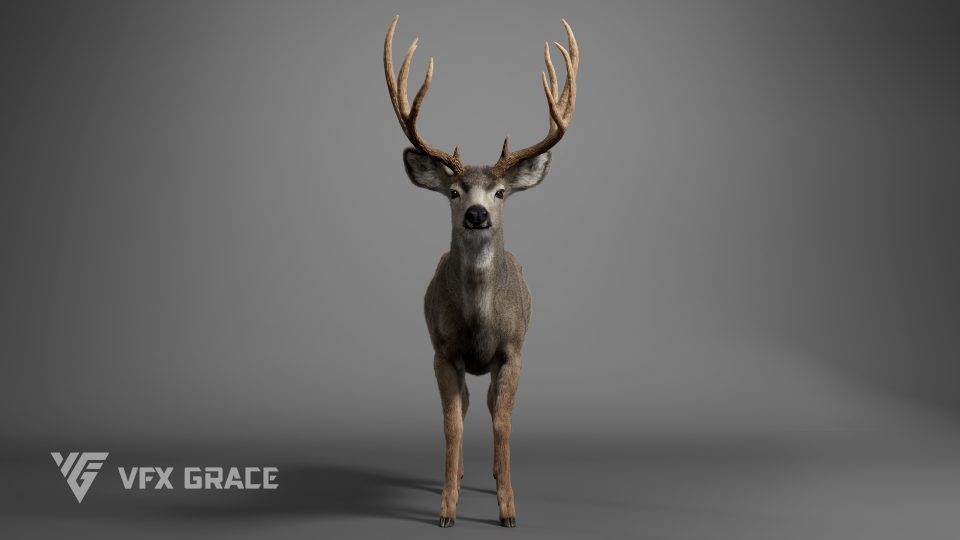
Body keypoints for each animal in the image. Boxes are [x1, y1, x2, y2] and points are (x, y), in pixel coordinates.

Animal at [383, 15, 578, 528]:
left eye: (501, 192)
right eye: (453, 192)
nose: (476, 214)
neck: (479, 325)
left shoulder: (513, 351)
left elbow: (503, 421)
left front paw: (508, 508)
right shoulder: (441, 350)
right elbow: (452, 422)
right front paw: (447, 508)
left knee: (489, 405)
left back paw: (491, 475)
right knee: (471, 405)